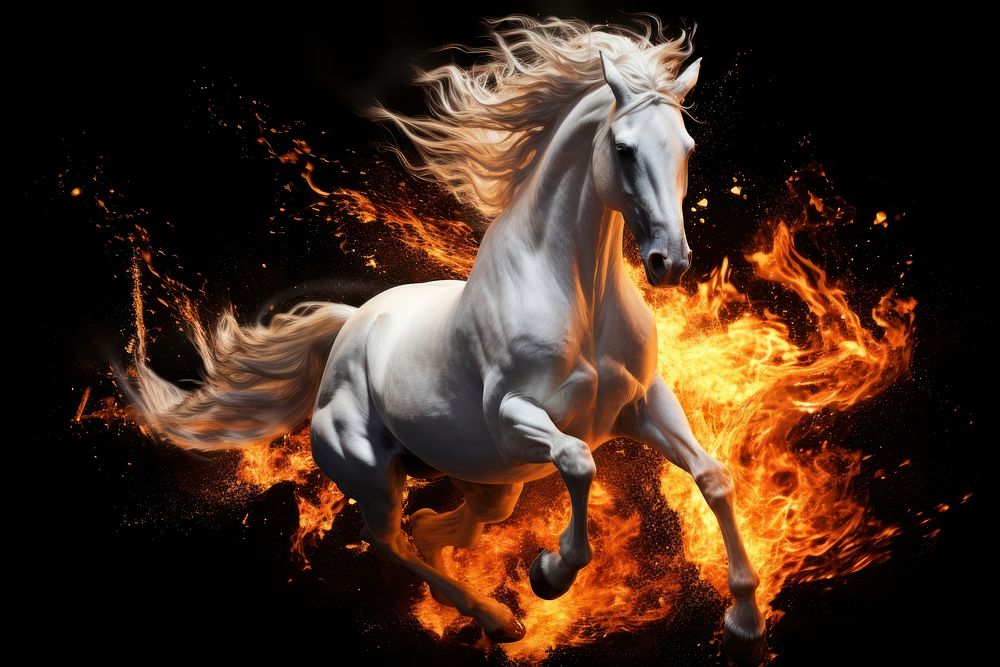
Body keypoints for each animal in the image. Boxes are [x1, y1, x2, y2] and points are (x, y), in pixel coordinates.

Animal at [126, 17, 766, 663]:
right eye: (624, 148)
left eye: (687, 147)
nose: (670, 262)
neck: (580, 297)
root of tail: (350, 327)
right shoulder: (515, 414)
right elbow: (579, 461)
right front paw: (551, 573)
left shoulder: (644, 402)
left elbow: (714, 477)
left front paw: (744, 620)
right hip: (374, 476)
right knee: (391, 540)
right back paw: (498, 617)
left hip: (488, 484)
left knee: (430, 528)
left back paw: (479, 612)